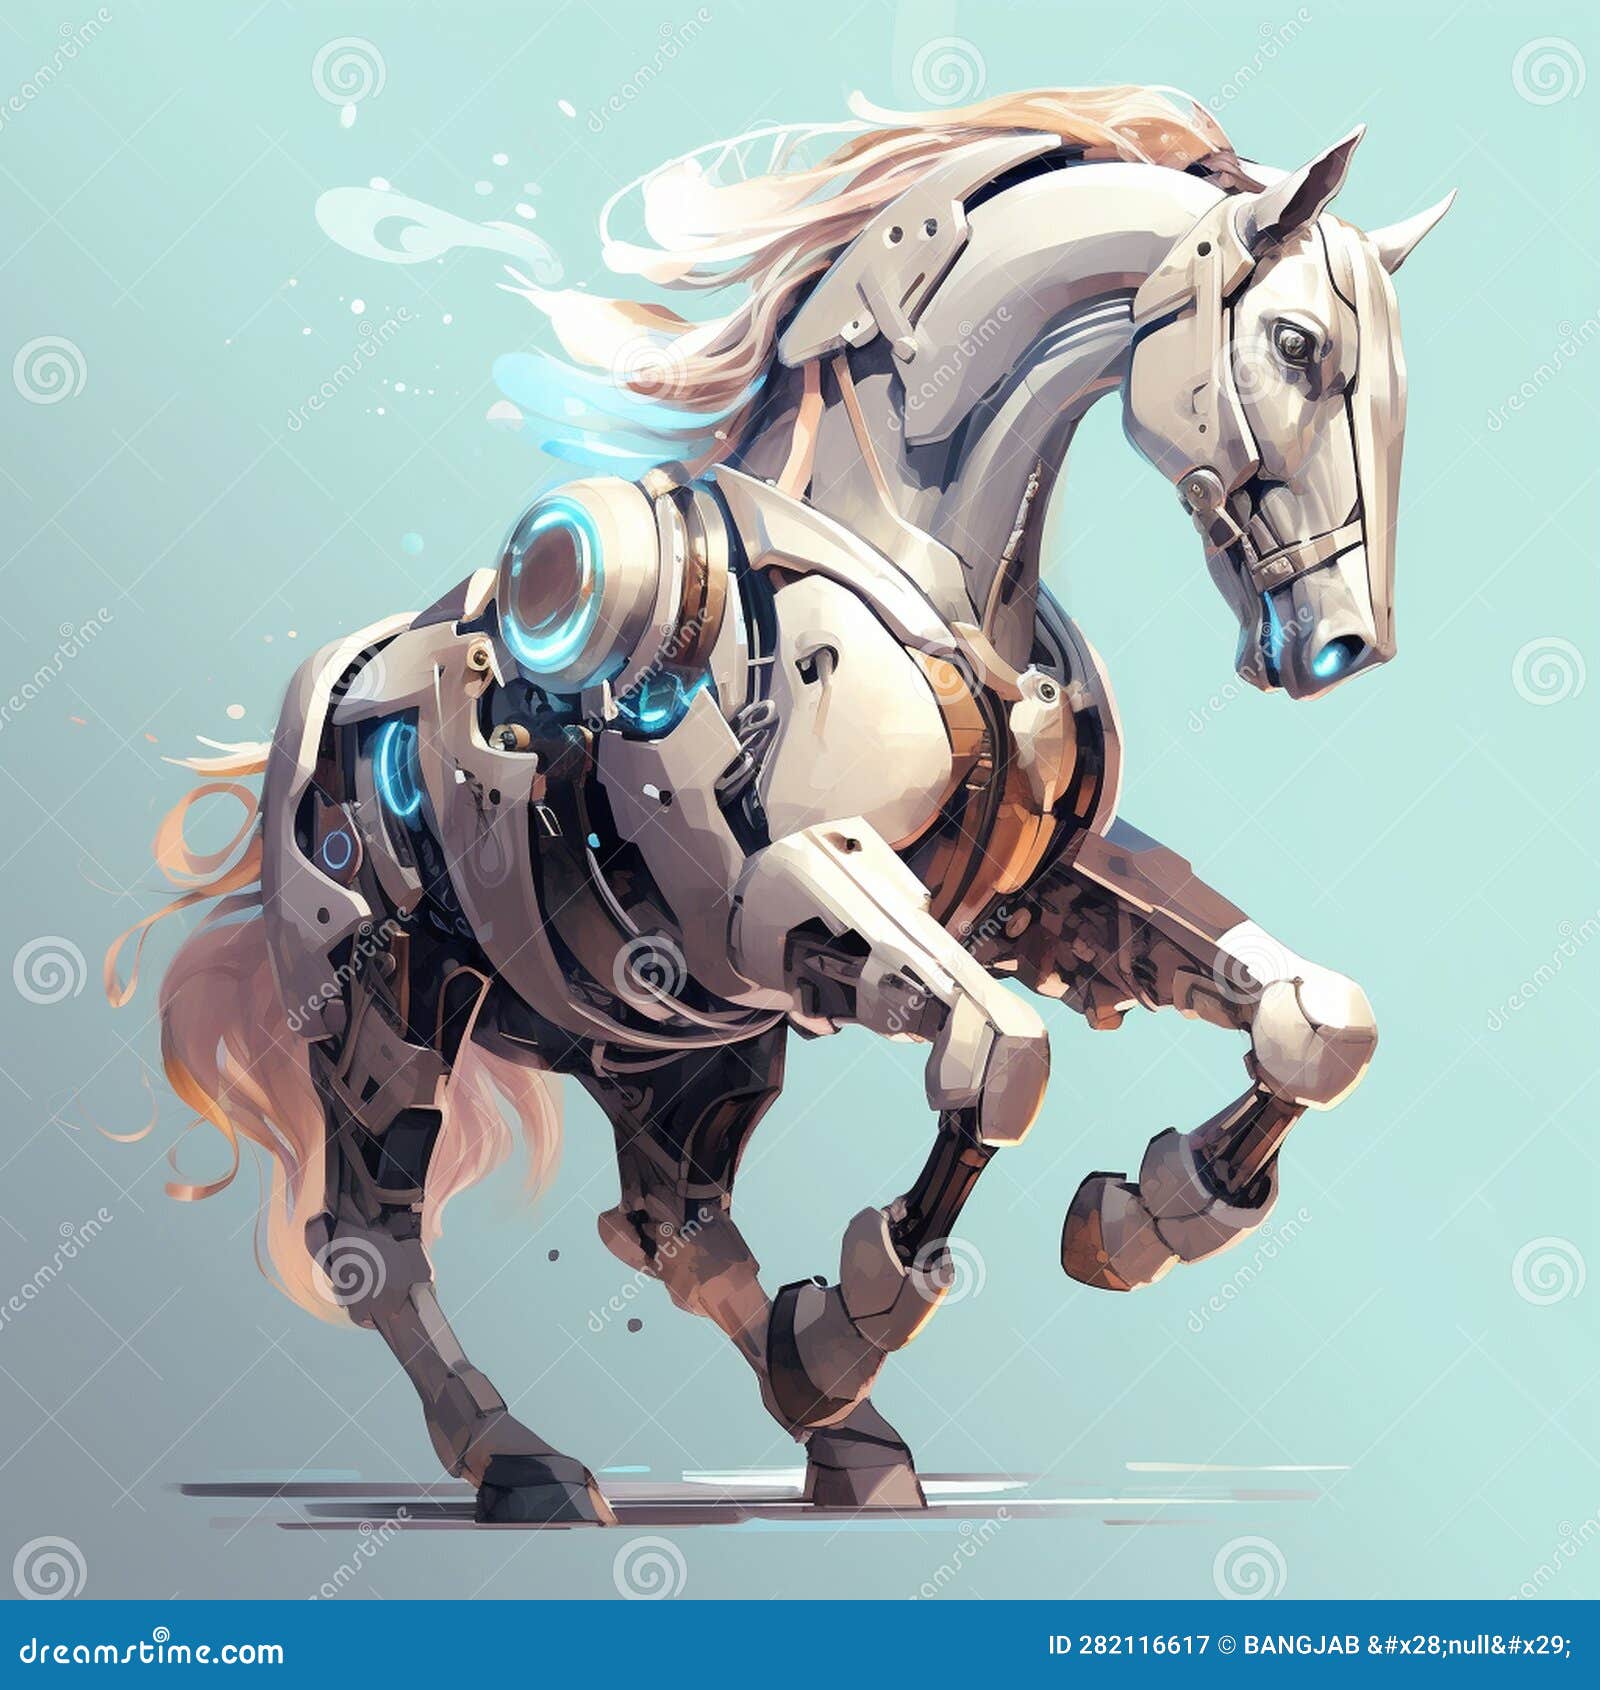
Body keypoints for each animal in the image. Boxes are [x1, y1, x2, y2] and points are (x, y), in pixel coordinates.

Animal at [107, 87, 1450, 1525]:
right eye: (1298, 344)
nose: (1341, 642)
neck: (924, 562)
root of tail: (320, 700)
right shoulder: (782, 892)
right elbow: (1003, 1056)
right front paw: (875, 1295)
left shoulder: (1038, 895)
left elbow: (1318, 1020)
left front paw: (1145, 1212)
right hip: (397, 993)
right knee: (371, 1235)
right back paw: (527, 1451)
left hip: (679, 1048)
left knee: (674, 1227)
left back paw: (839, 1426)